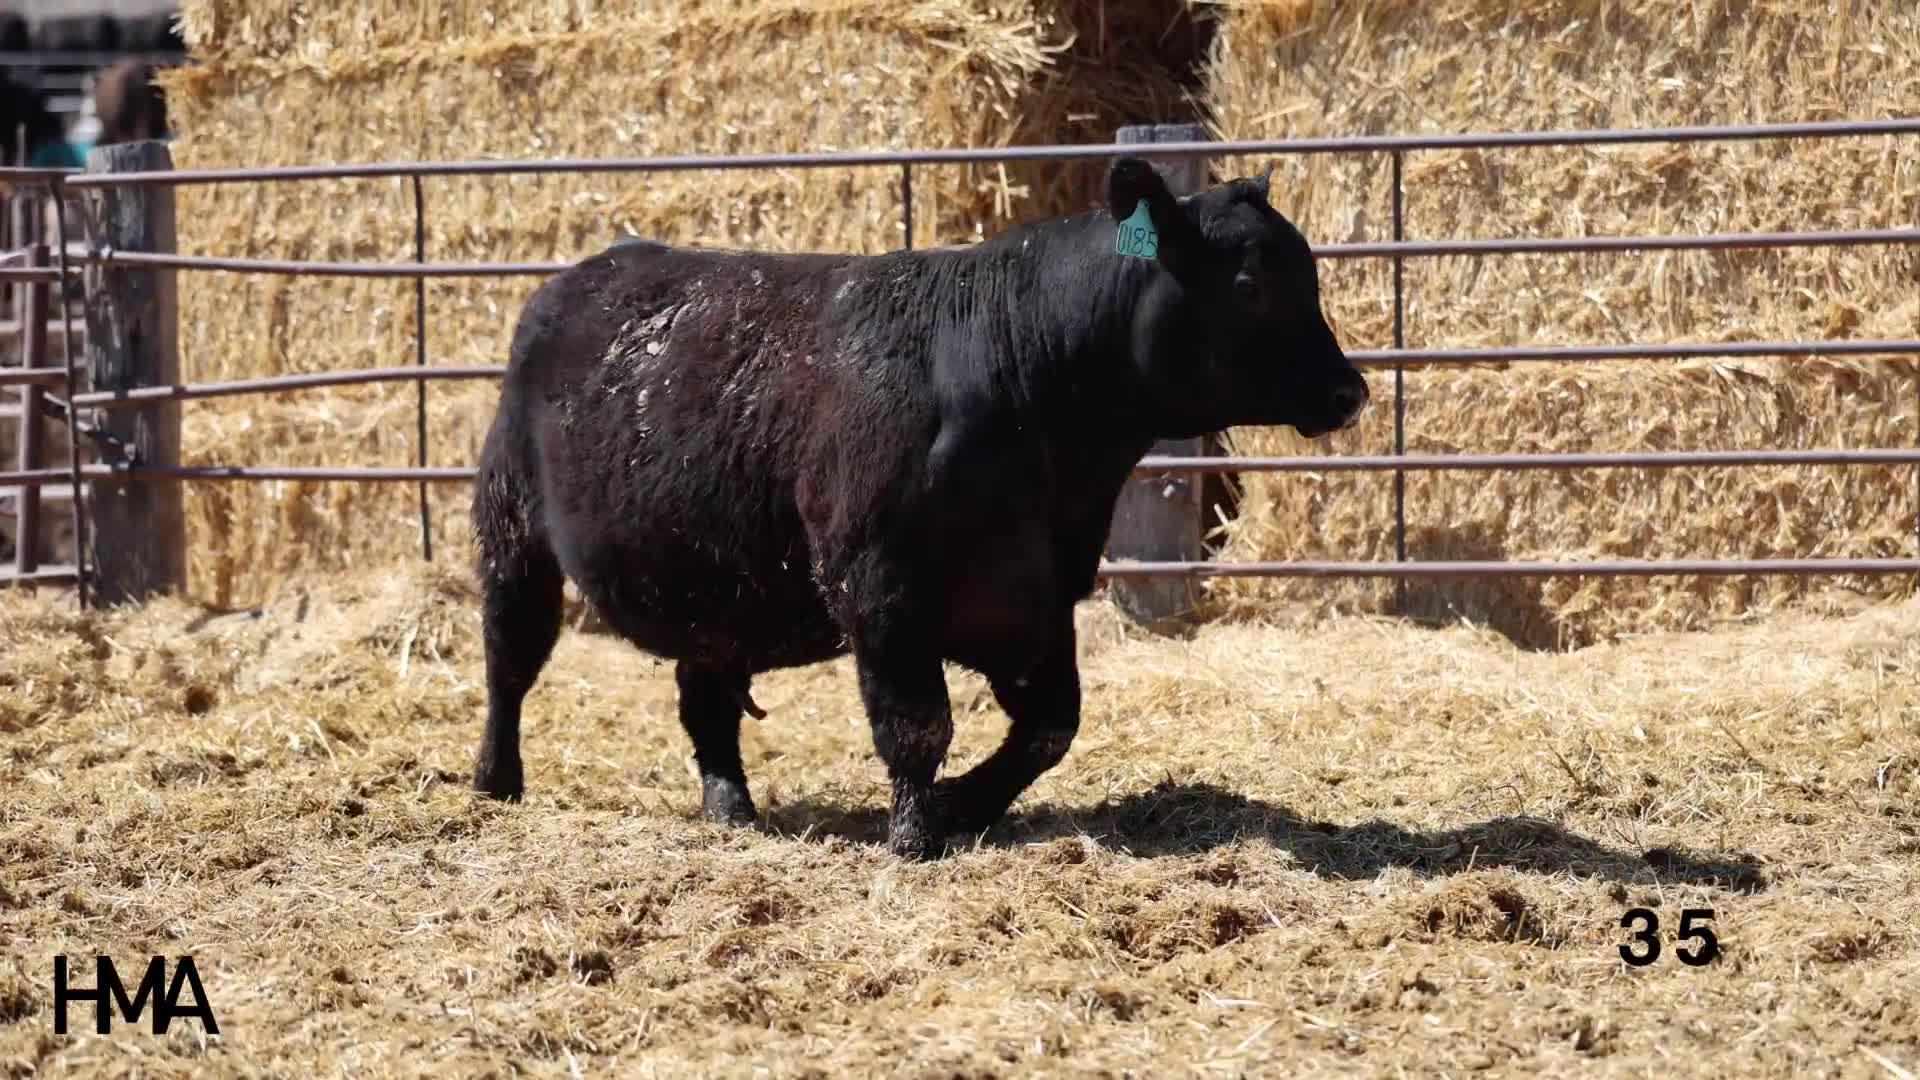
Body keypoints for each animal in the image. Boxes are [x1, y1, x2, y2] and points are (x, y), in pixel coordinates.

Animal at [470, 156, 1370, 859]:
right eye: (1250, 284)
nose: (1350, 390)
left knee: (705, 694)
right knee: (510, 661)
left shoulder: (1040, 592)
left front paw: (960, 805)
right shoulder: (880, 587)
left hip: (716, 584)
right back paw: (494, 782)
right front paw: (914, 831)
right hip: (512, 533)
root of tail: (592, 269)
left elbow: (1051, 725)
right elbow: (918, 724)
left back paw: (730, 805)